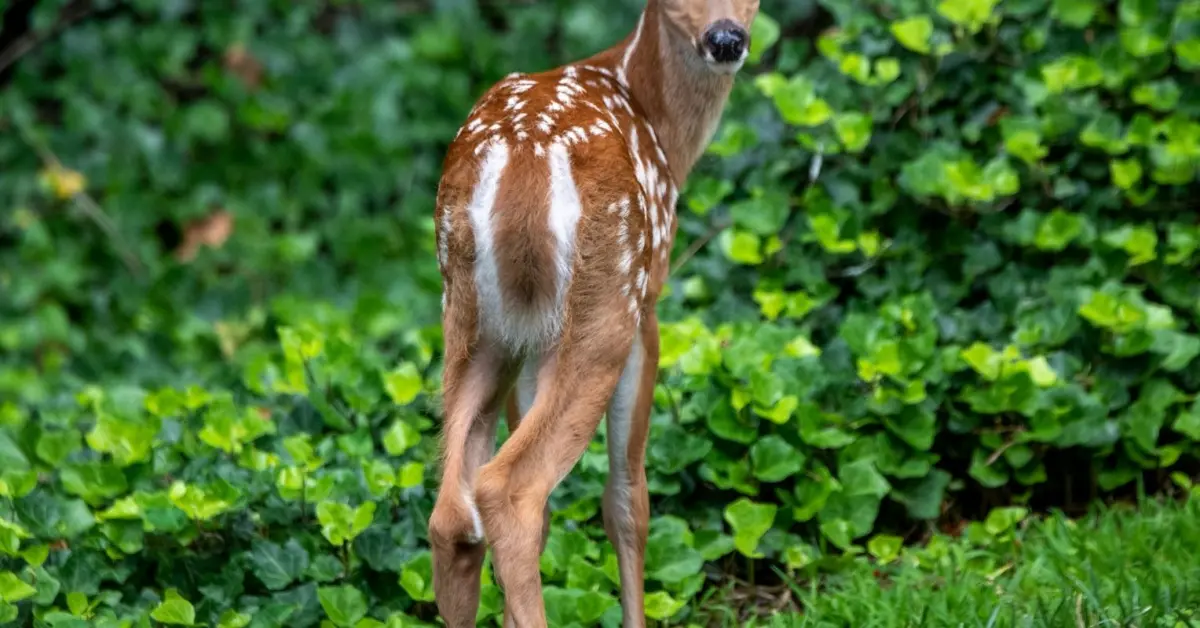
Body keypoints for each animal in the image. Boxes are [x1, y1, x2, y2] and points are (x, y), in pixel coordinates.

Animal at [427, 0, 760, 625]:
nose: (726, 39)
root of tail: (524, 159)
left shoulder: (530, 338)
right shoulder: (648, 304)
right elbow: (628, 499)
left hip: (472, 319)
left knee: (454, 515)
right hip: (607, 301)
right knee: (511, 490)